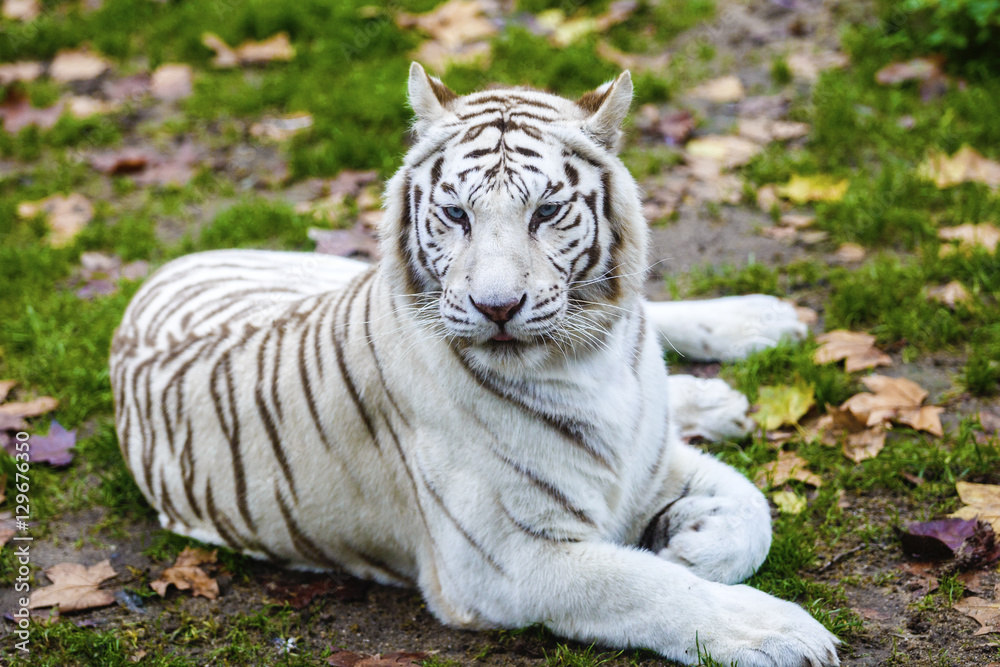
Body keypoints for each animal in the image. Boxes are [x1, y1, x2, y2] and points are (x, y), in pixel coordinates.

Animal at [110, 63, 839, 667]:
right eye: (455, 214)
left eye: (547, 210)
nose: (497, 306)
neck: (592, 356)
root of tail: (164, 271)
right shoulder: (505, 561)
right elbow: (644, 584)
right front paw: (774, 629)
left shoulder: (647, 459)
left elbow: (755, 510)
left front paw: (695, 545)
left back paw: (760, 327)